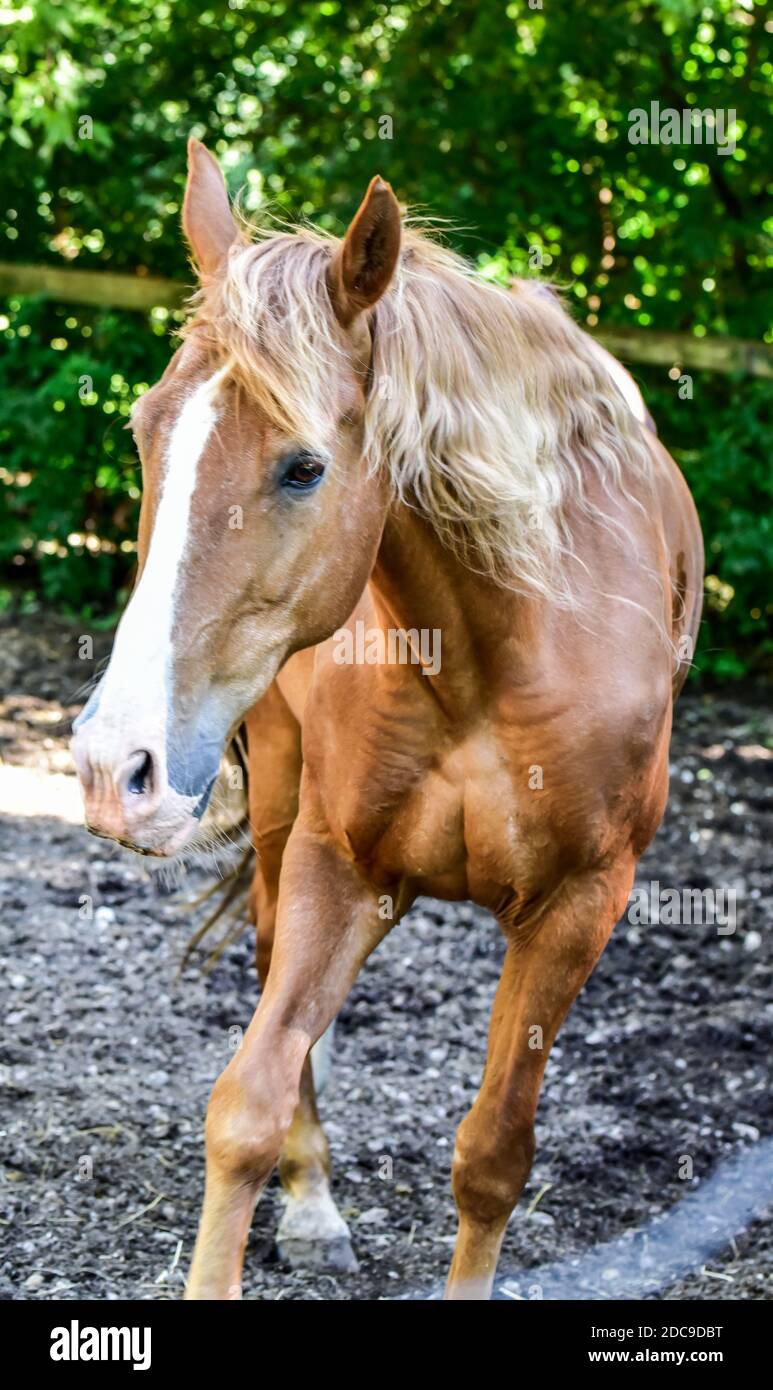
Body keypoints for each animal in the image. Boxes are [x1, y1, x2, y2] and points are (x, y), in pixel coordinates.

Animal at [71, 138, 704, 1300]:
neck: (495, 657)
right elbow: (246, 1103)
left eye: (303, 466)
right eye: (144, 435)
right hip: (281, 799)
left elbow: (492, 1156)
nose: (109, 766)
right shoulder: (340, 863)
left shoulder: (580, 905)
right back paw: (314, 1204)